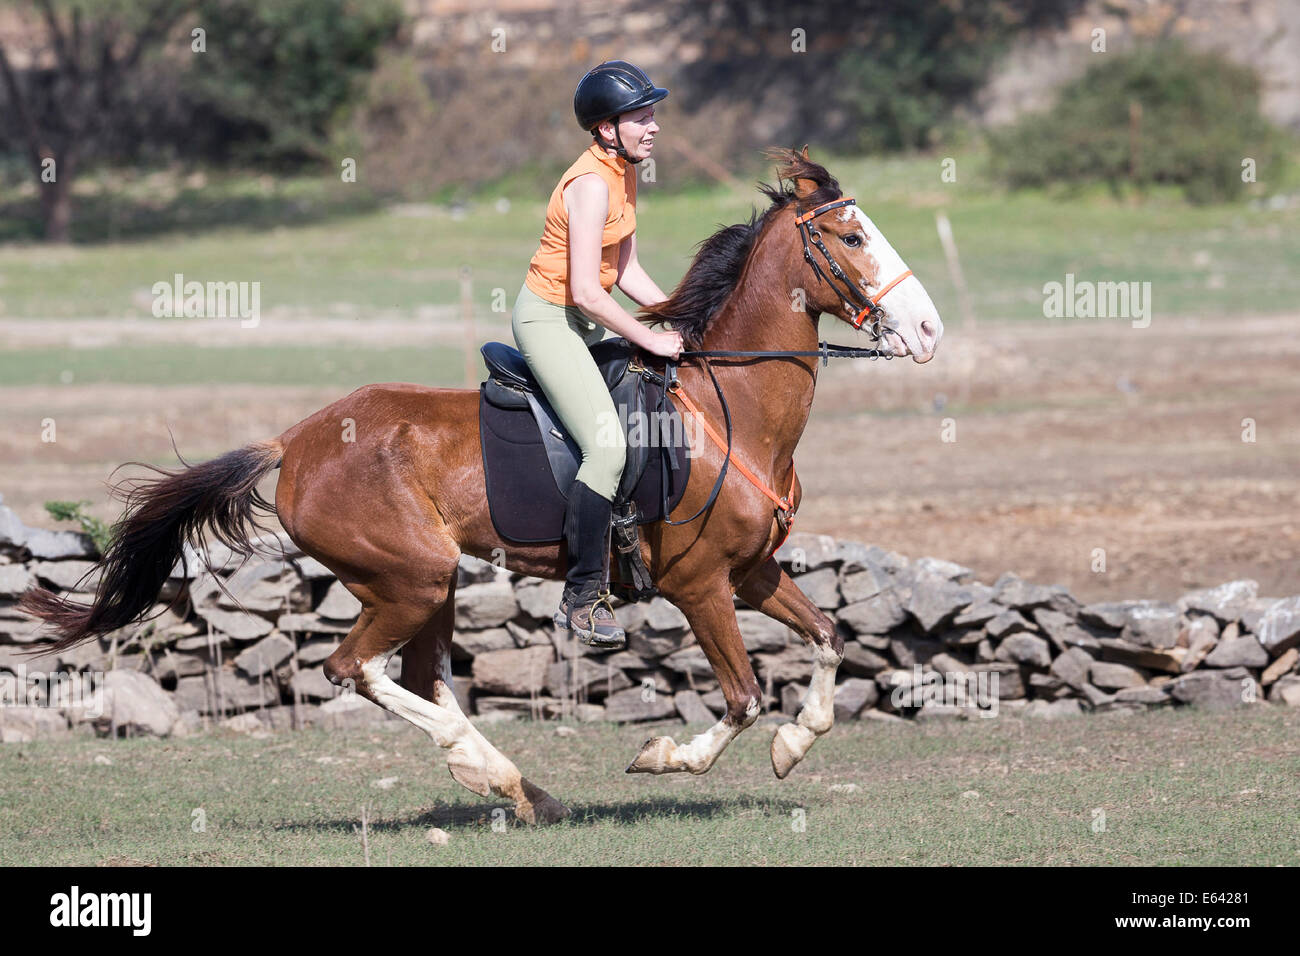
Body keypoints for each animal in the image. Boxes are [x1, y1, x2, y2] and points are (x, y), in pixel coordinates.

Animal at [19, 146, 943, 824]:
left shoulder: (752, 572)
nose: (931, 330)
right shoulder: (701, 584)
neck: (731, 407)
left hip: (427, 583)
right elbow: (744, 697)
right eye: (853, 240)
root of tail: (295, 439)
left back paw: (515, 785)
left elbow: (828, 639)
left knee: (417, 675)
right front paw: (666, 755)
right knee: (356, 669)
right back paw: (491, 771)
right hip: (412, 575)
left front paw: (796, 743)